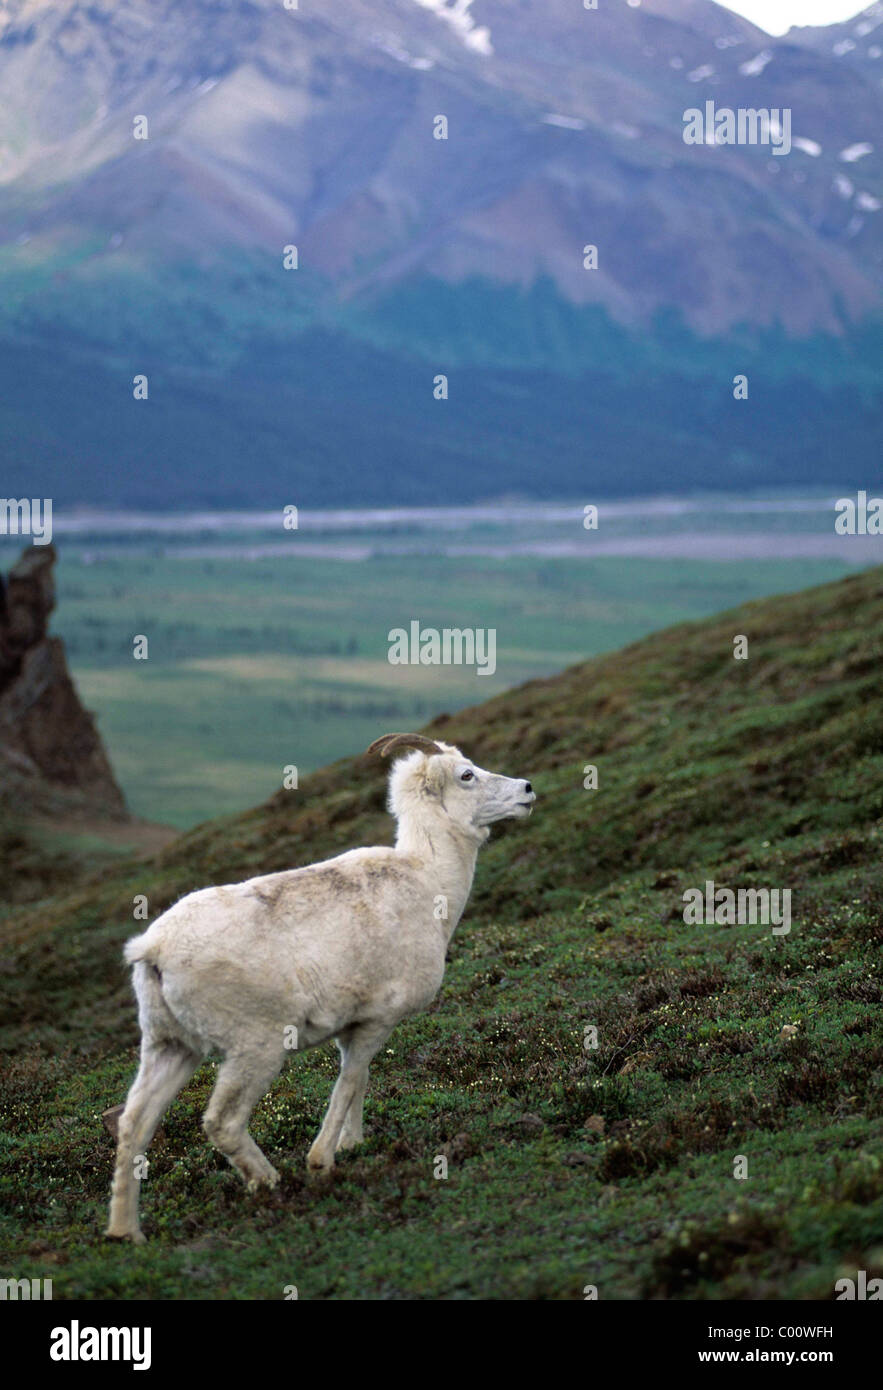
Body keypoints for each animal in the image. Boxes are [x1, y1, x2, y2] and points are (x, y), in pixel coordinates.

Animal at [105, 733, 535, 1243]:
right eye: (467, 775)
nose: (527, 790)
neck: (429, 881)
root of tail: (152, 949)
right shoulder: (377, 1021)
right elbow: (347, 1084)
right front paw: (323, 1161)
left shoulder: (352, 1026)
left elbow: (359, 1080)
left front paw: (353, 1144)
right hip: (255, 1048)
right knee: (221, 1122)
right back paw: (270, 1180)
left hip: (170, 1046)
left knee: (134, 1124)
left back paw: (127, 1234)